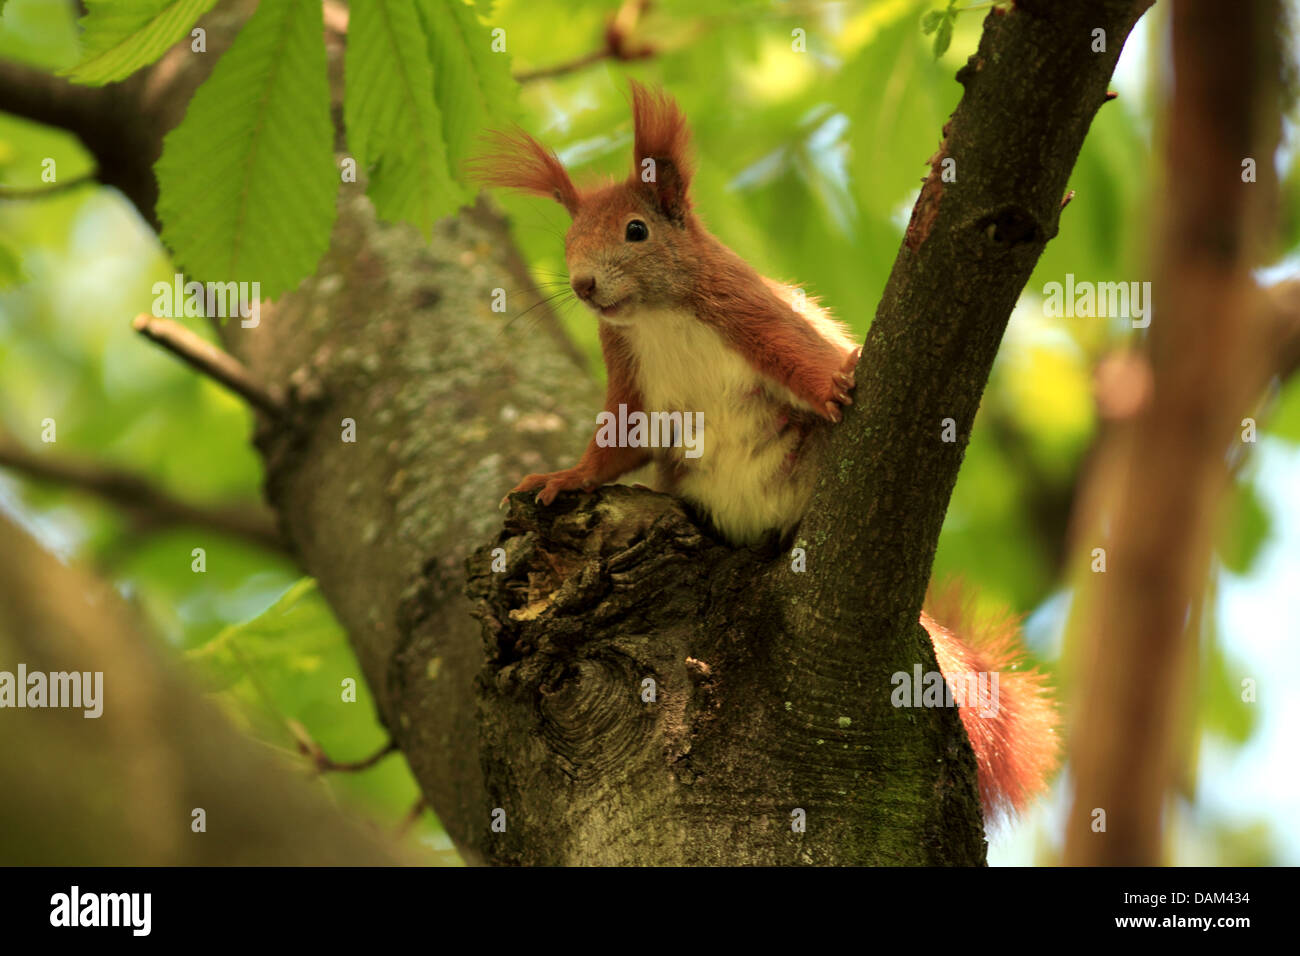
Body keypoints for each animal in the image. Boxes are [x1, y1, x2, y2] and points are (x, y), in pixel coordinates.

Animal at [472, 81, 1058, 822]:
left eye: (636, 231)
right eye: (571, 240)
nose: (582, 285)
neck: (658, 314)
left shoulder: (747, 311)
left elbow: (797, 357)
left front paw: (833, 384)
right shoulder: (630, 377)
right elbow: (617, 445)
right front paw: (563, 477)